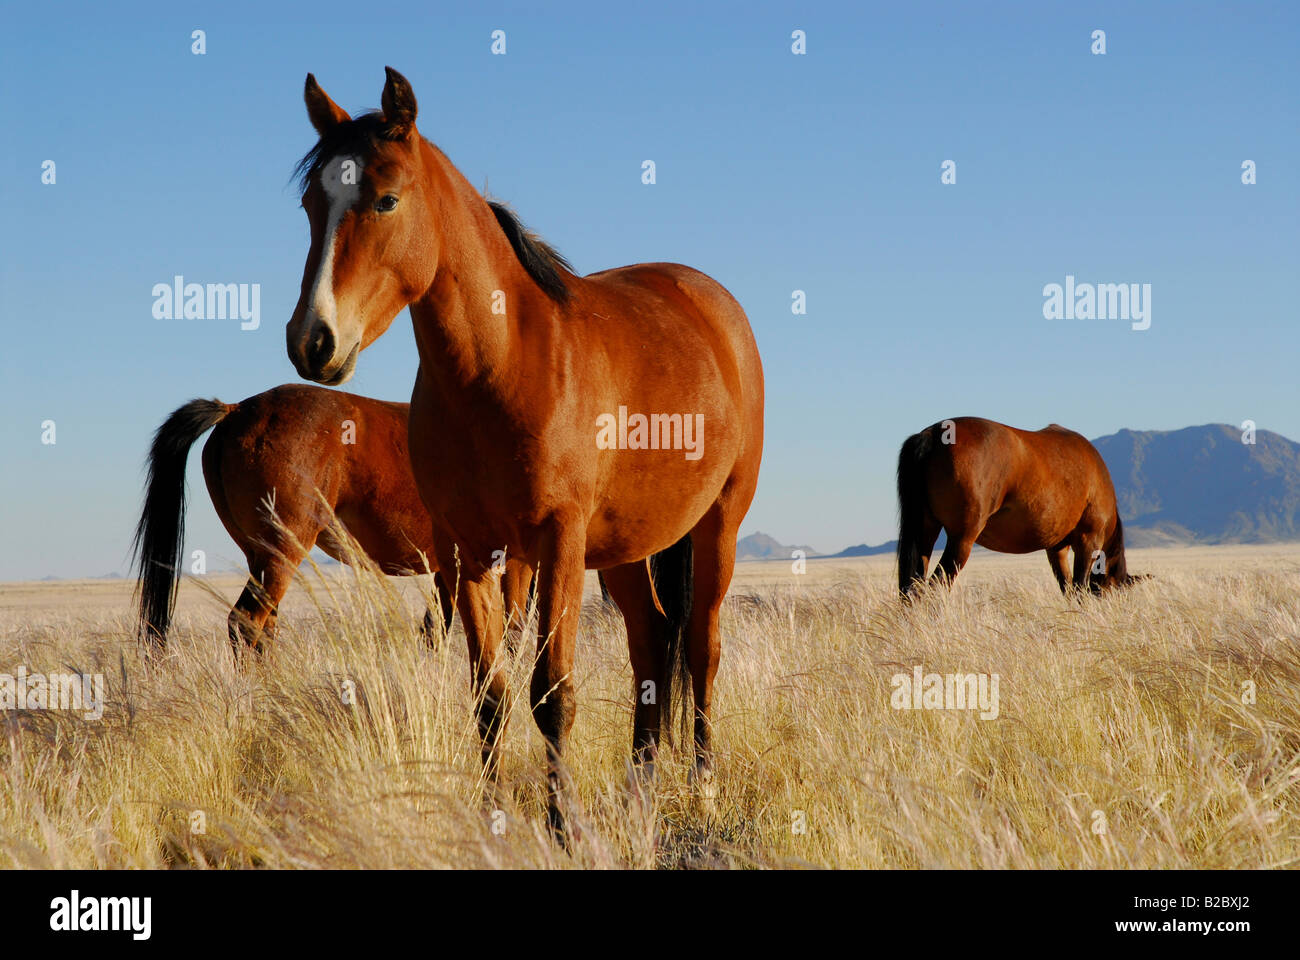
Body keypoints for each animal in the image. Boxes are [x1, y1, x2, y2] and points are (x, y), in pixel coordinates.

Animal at [130, 383, 534, 654]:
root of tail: (236, 409)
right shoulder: (511, 561)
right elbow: (511, 632)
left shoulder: (450, 568)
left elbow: (437, 631)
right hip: (281, 553)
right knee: (246, 623)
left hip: (259, 557)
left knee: (264, 628)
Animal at [283, 68, 765, 834]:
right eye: (310, 204)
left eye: (386, 199)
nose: (313, 340)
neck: (500, 367)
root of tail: (712, 303)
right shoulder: (469, 552)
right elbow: (490, 696)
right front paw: (495, 821)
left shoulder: (557, 542)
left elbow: (552, 692)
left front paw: (563, 827)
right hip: (625, 548)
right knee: (651, 643)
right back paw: (639, 789)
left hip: (717, 524)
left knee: (702, 648)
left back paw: (704, 789)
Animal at [896, 417, 1147, 597]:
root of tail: (933, 434)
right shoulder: (1088, 541)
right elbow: (1079, 589)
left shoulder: (1056, 549)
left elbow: (1067, 588)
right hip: (961, 540)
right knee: (933, 586)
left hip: (926, 531)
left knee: (912, 588)